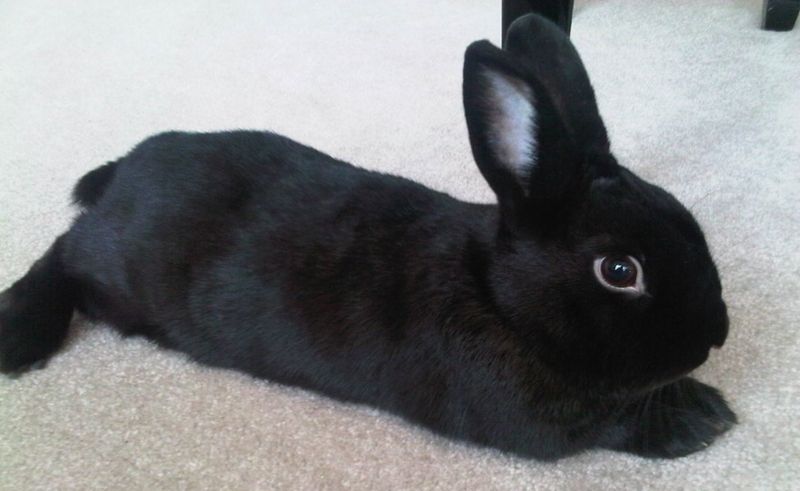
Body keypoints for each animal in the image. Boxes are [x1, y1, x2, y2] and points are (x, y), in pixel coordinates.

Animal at [0, 14, 735, 460]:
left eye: (686, 219)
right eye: (620, 270)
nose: (717, 335)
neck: (499, 298)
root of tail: (121, 174)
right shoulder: (538, 422)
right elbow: (615, 421)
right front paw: (704, 417)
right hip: (117, 271)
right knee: (63, 252)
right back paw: (21, 334)